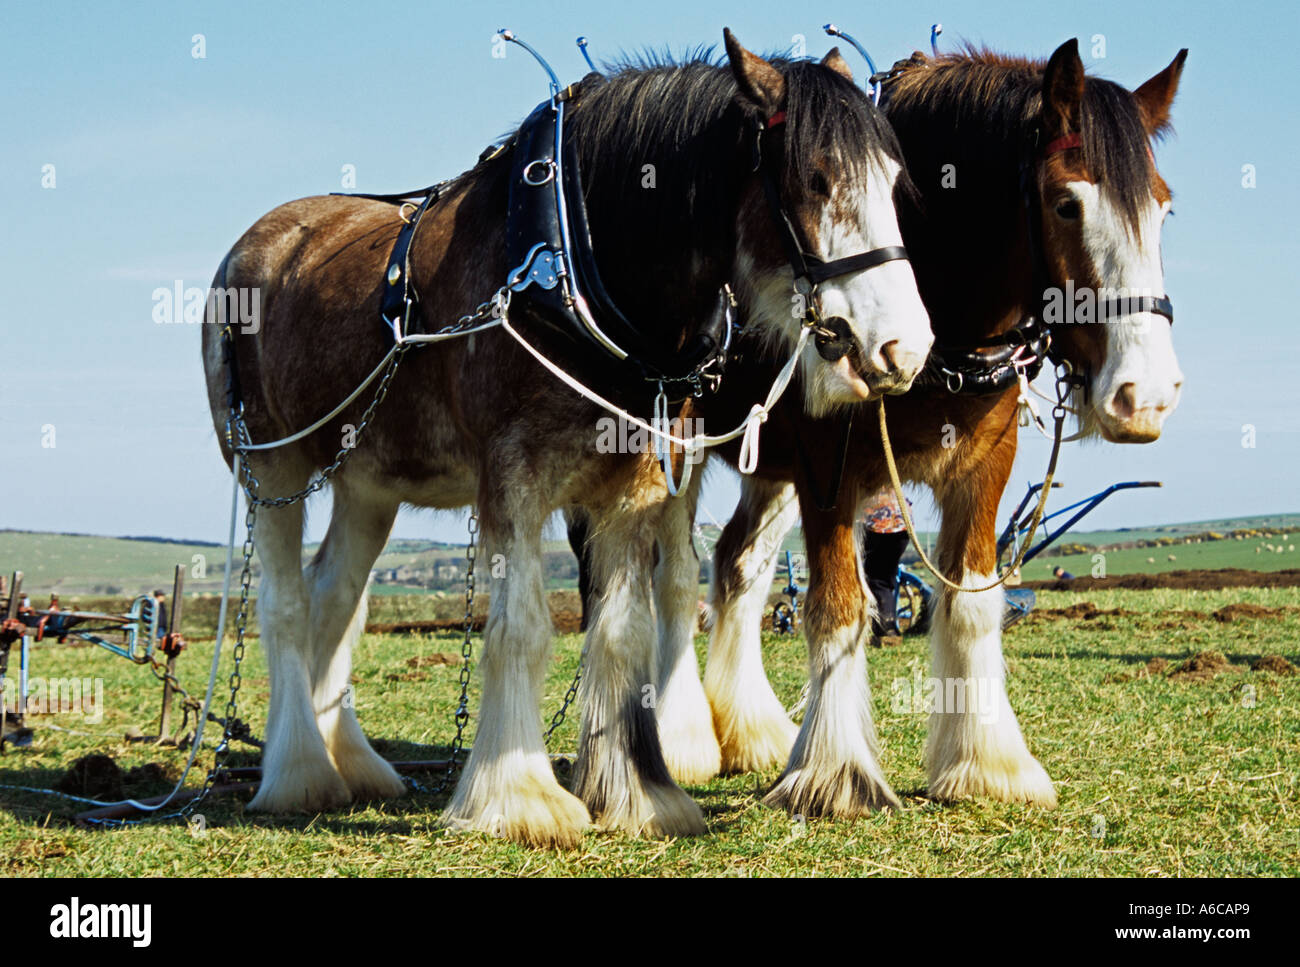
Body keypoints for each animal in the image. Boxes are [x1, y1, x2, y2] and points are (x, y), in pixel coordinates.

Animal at [200, 31, 933, 847]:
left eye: (894, 182)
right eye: (815, 178)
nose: (905, 347)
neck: (573, 265)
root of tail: (250, 249)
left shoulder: (630, 486)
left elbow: (621, 631)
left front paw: (637, 794)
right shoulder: (512, 478)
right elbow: (520, 629)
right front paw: (518, 798)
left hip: (368, 482)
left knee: (337, 597)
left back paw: (353, 764)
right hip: (271, 461)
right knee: (285, 603)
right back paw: (300, 772)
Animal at [637, 38, 1189, 815]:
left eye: (1162, 211)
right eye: (1066, 204)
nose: (1148, 396)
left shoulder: (984, 465)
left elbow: (971, 602)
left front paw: (987, 762)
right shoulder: (828, 466)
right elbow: (839, 606)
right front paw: (835, 773)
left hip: (770, 463)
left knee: (739, 565)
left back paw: (751, 729)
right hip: (677, 440)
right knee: (679, 574)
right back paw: (684, 734)